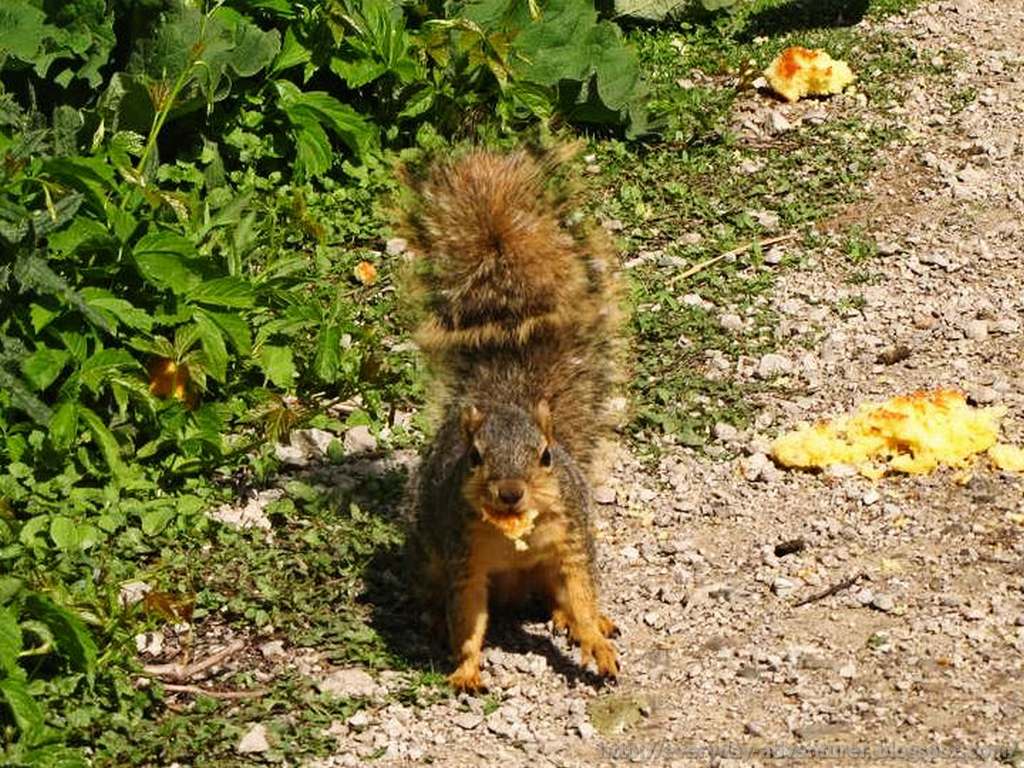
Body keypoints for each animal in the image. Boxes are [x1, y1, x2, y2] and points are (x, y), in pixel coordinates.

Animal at [396, 147, 624, 692]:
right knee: (436, 592)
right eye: (475, 458)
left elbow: (581, 591)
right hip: (429, 553)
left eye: (545, 456)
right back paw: (432, 618)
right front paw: (466, 666)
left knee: (561, 599)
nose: (510, 493)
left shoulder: (571, 538)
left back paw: (575, 622)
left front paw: (594, 639)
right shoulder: (465, 556)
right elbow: (469, 617)